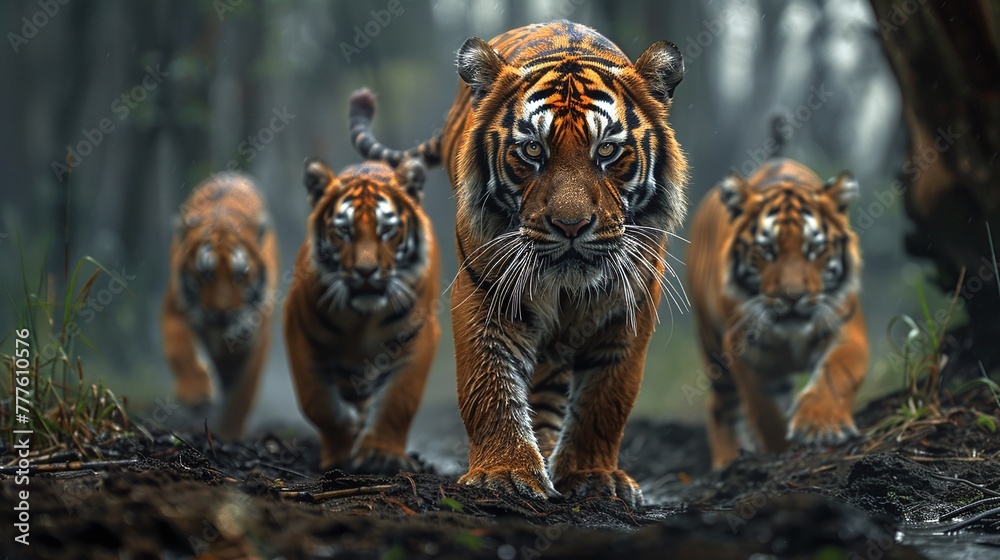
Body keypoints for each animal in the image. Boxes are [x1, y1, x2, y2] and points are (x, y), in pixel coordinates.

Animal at [161, 172, 278, 440]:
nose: (222, 313)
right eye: (206, 275)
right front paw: (197, 395)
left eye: (240, 276)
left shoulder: (255, 337)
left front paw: (229, 434)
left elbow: (242, 394)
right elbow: (180, 349)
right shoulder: (175, 308)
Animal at [283, 157, 440, 473]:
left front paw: (381, 456)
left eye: (387, 230)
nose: (366, 271)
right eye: (344, 231)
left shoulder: (416, 339)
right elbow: (318, 403)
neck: (364, 317)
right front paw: (342, 453)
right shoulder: (299, 332)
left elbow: (398, 401)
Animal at [347, 20, 687, 506]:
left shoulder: (628, 308)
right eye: (532, 151)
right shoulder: (484, 293)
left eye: (606, 151)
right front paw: (505, 473)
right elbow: (488, 384)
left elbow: (608, 398)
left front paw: (594, 477)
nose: (570, 225)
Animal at [686, 158, 869, 469]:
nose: (792, 296)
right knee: (720, 405)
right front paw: (782, 449)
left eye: (815, 248)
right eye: (766, 249)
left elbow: (837, 375)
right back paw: (728, 461)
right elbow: (766, 412)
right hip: (711, 345)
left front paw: (819, 428)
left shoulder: (845, 328)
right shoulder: (743, 349)